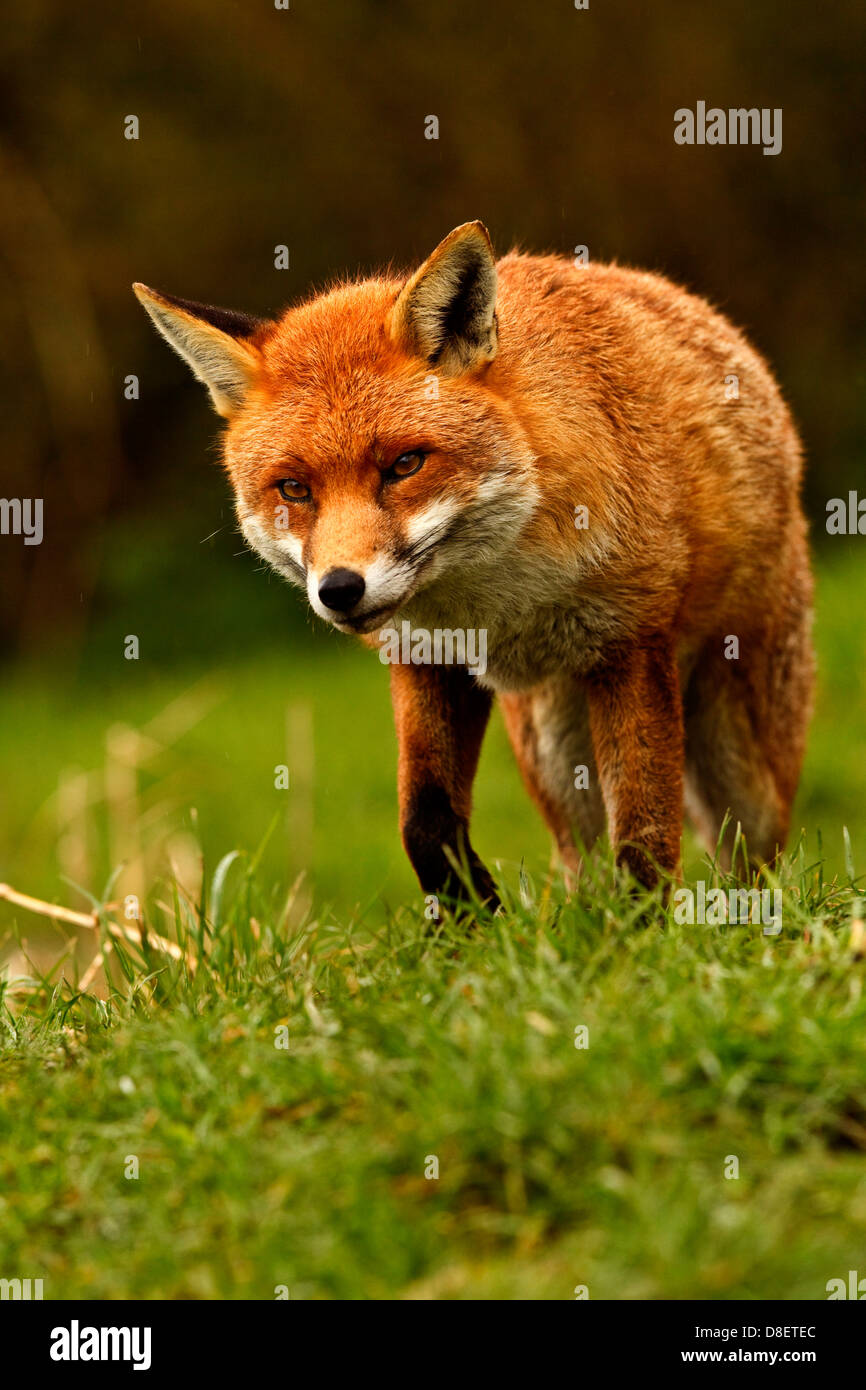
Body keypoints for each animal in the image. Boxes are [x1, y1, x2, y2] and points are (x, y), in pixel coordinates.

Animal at [134, 220, 814, 911]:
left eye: (405, 464)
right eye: (294, 490)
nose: (340, 590)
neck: (494, 602)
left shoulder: (632, 644)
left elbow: (646, 839)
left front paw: (639, 934)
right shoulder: (425, 661)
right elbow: (425, 822)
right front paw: (472, 915)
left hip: (738, 755)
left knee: (751, 857)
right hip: (554, 751)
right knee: (582, 855)